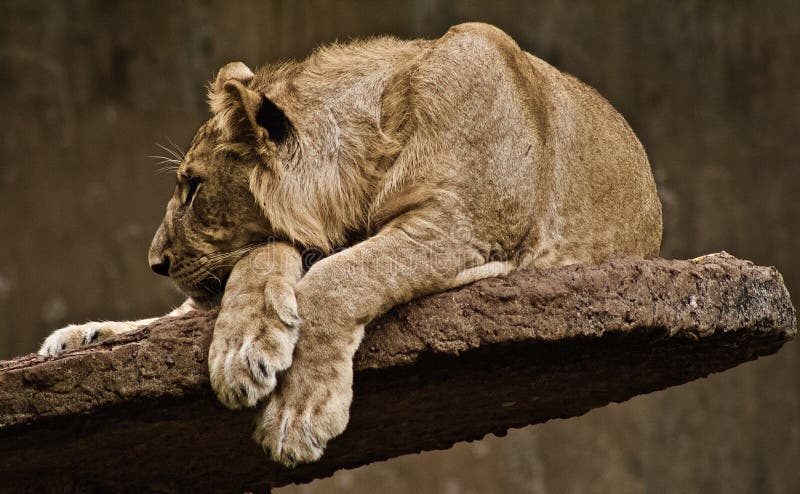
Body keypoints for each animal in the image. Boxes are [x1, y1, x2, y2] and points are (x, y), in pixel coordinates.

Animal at [39, 23, 662, 466]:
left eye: (192, 188)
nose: (155, 262)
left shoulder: (458, 226)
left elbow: (342, 278)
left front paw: (297, 413)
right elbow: (272, 258)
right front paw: (244, 349)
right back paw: (79, 339)